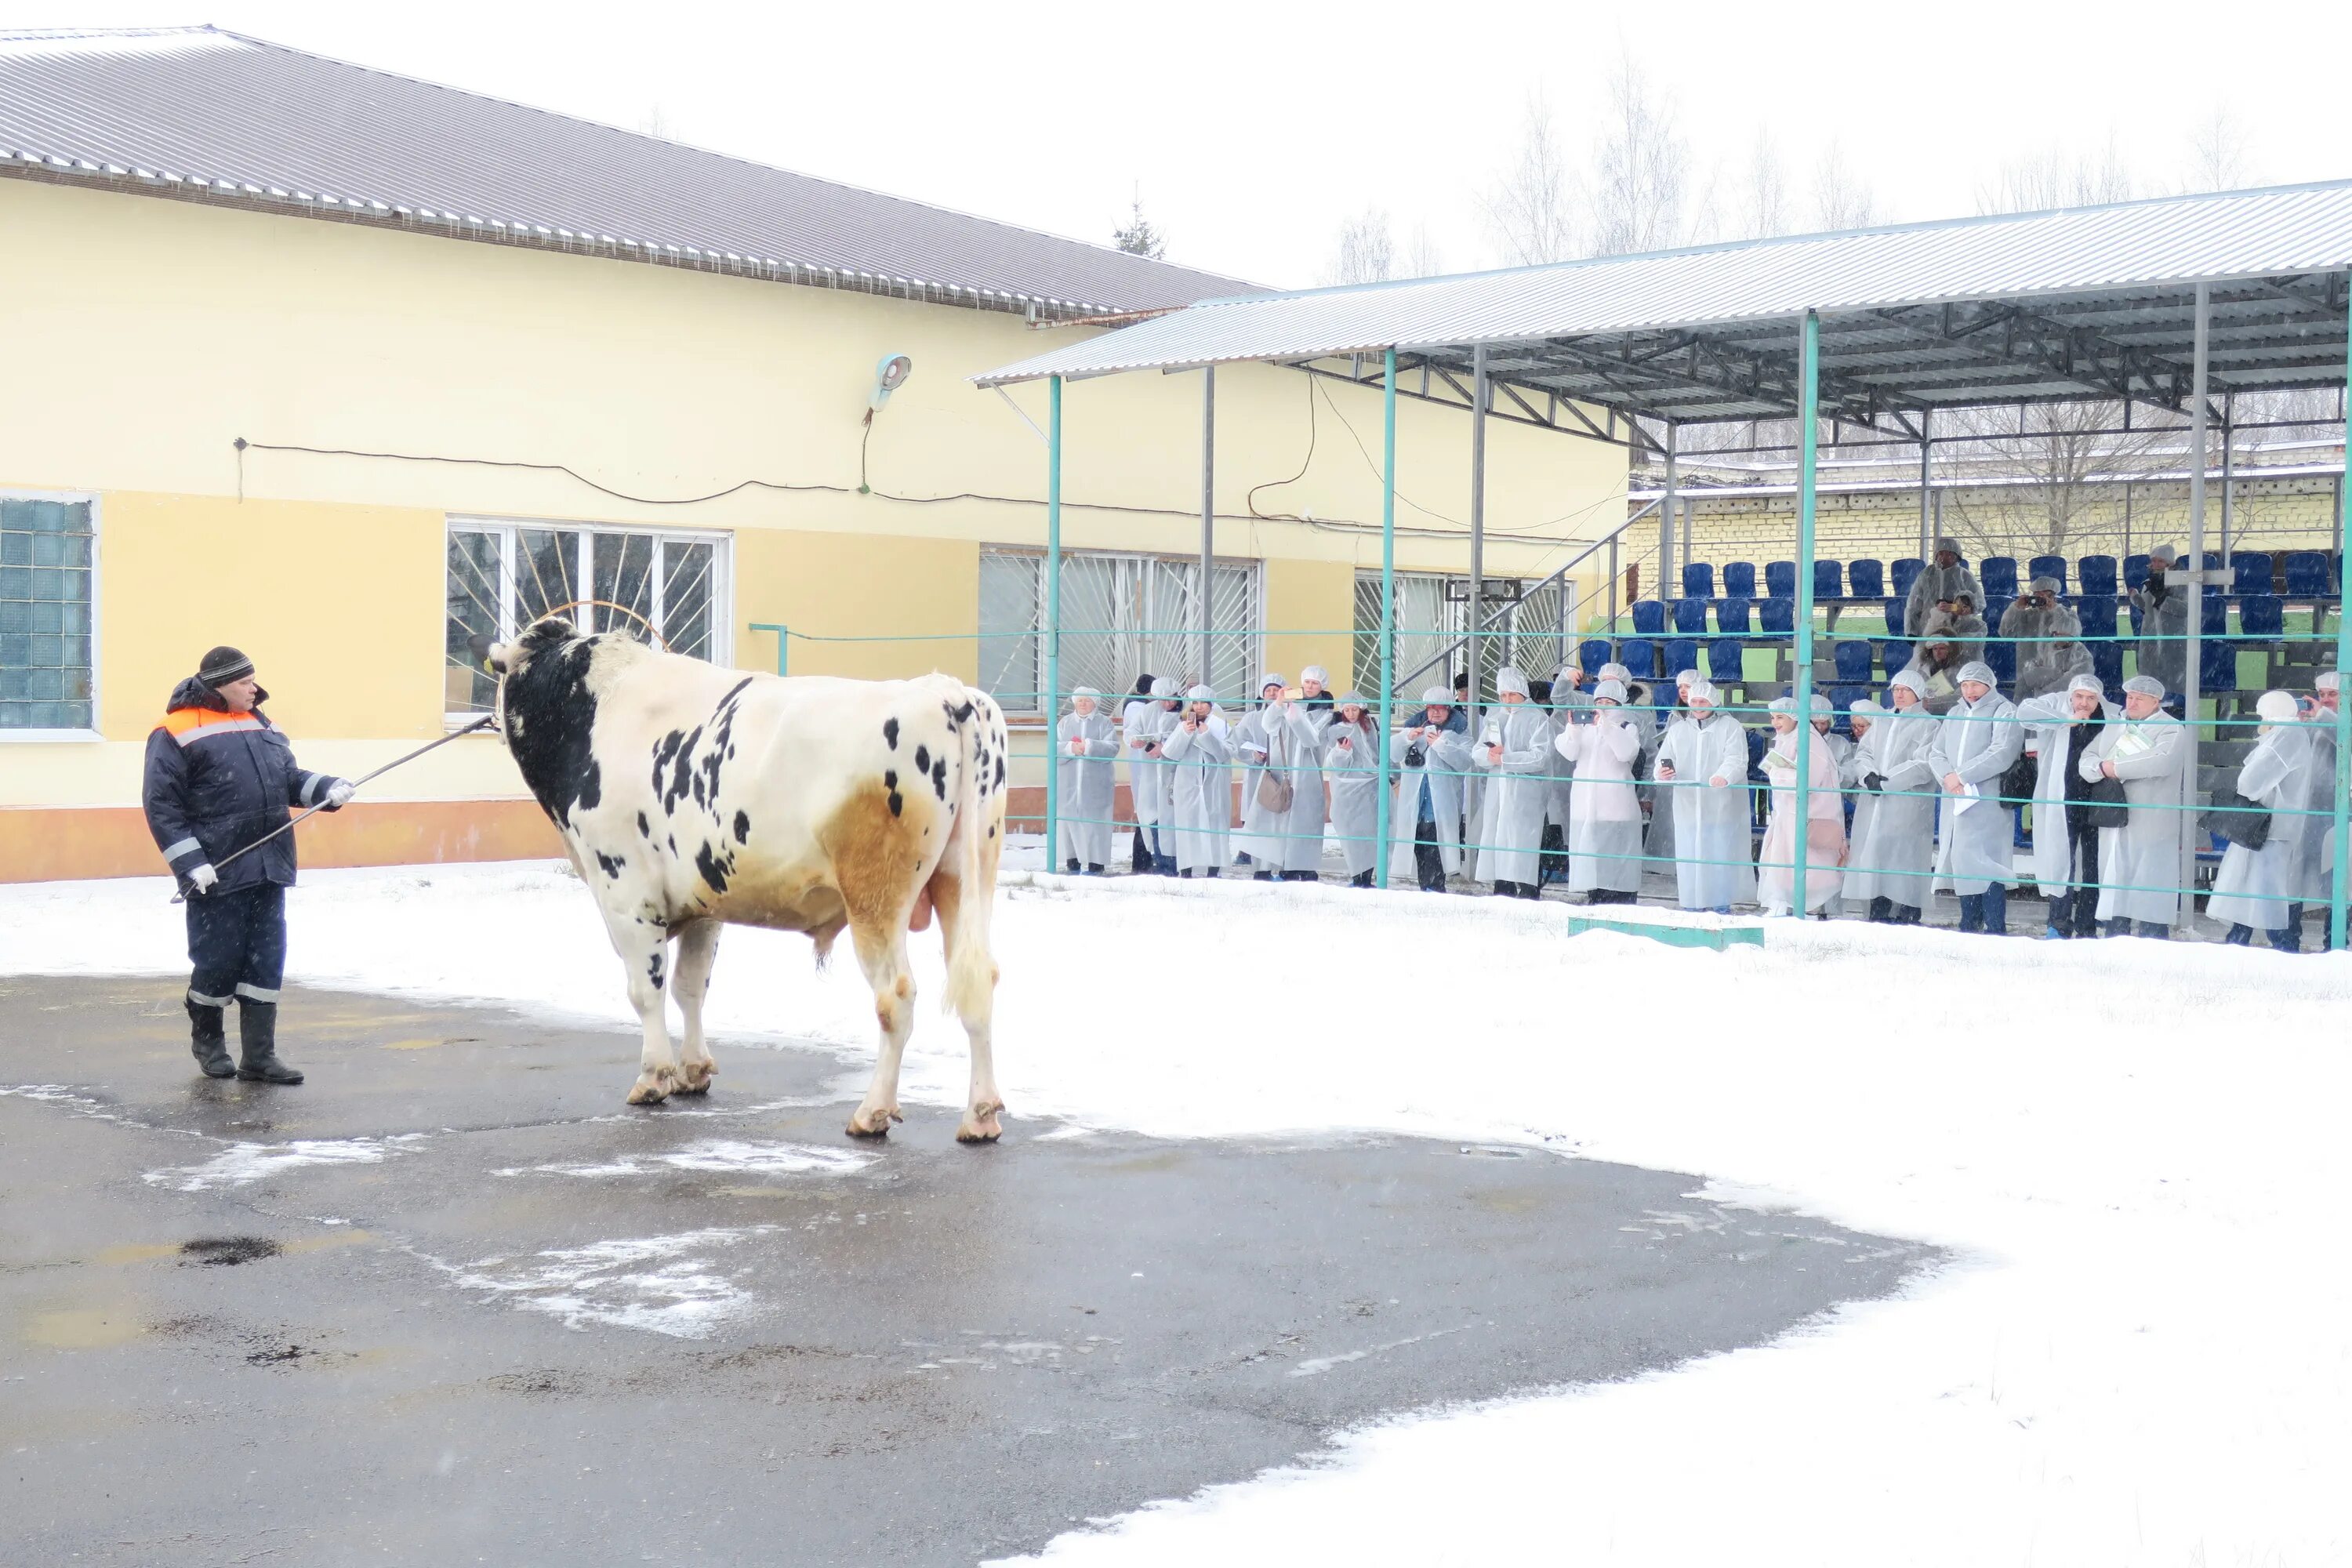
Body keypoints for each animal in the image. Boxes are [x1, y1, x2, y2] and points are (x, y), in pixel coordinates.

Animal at [487, 611, 1011, 1142]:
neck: (591, 709)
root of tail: (944, 691)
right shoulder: (702, 900)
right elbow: (690, 984)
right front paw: (694, 1071)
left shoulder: (626, 894)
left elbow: (647, 989)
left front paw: (653, 1077)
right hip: (966, 879)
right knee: (979, 982)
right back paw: (981, 1114)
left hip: (875, 896)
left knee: (895, 997)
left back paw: (873, 1112)